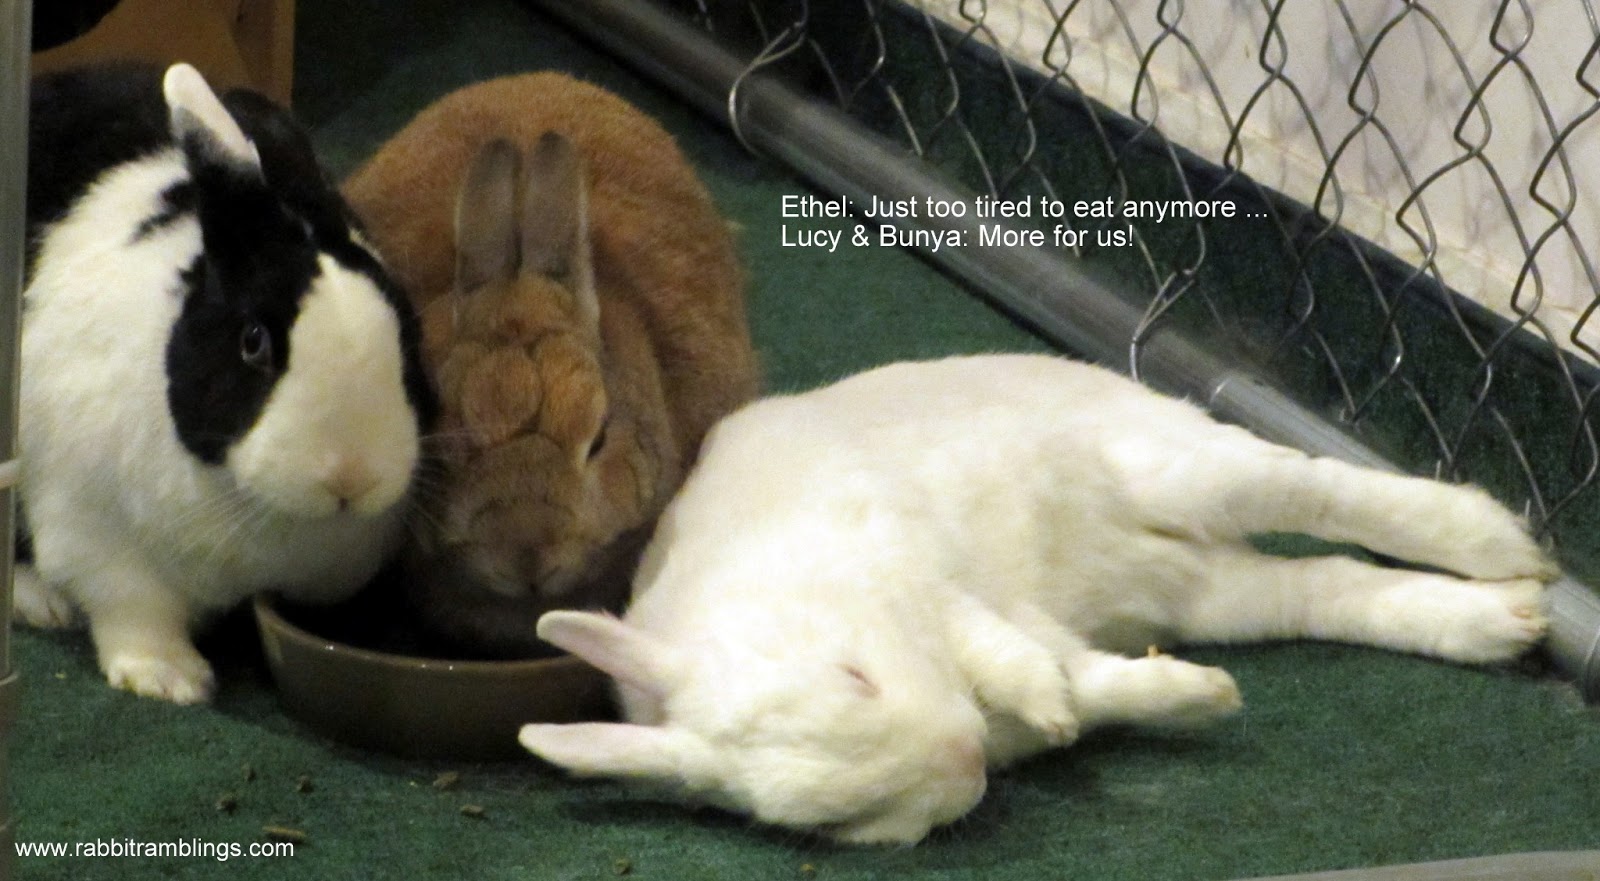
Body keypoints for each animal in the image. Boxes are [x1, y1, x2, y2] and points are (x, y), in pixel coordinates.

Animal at [14, 62, 437, 704]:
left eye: (407, 326)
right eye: (253, 342)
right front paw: (170, 681)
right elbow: (134, 611)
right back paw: (41, 603)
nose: (353, 478)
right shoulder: (94, 532)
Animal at [518, 353, 1556, 845]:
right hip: (1207, 590)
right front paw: (1187, 696)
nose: (968, 758)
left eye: (855, 677)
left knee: (1320, 491)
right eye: (834, 822)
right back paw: (1500, 621)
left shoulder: (917, 569)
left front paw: (1046, 704)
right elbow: (1088, 677)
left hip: (1175, 469)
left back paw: (1506, 546)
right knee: (1323, 584)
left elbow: (998, 643)